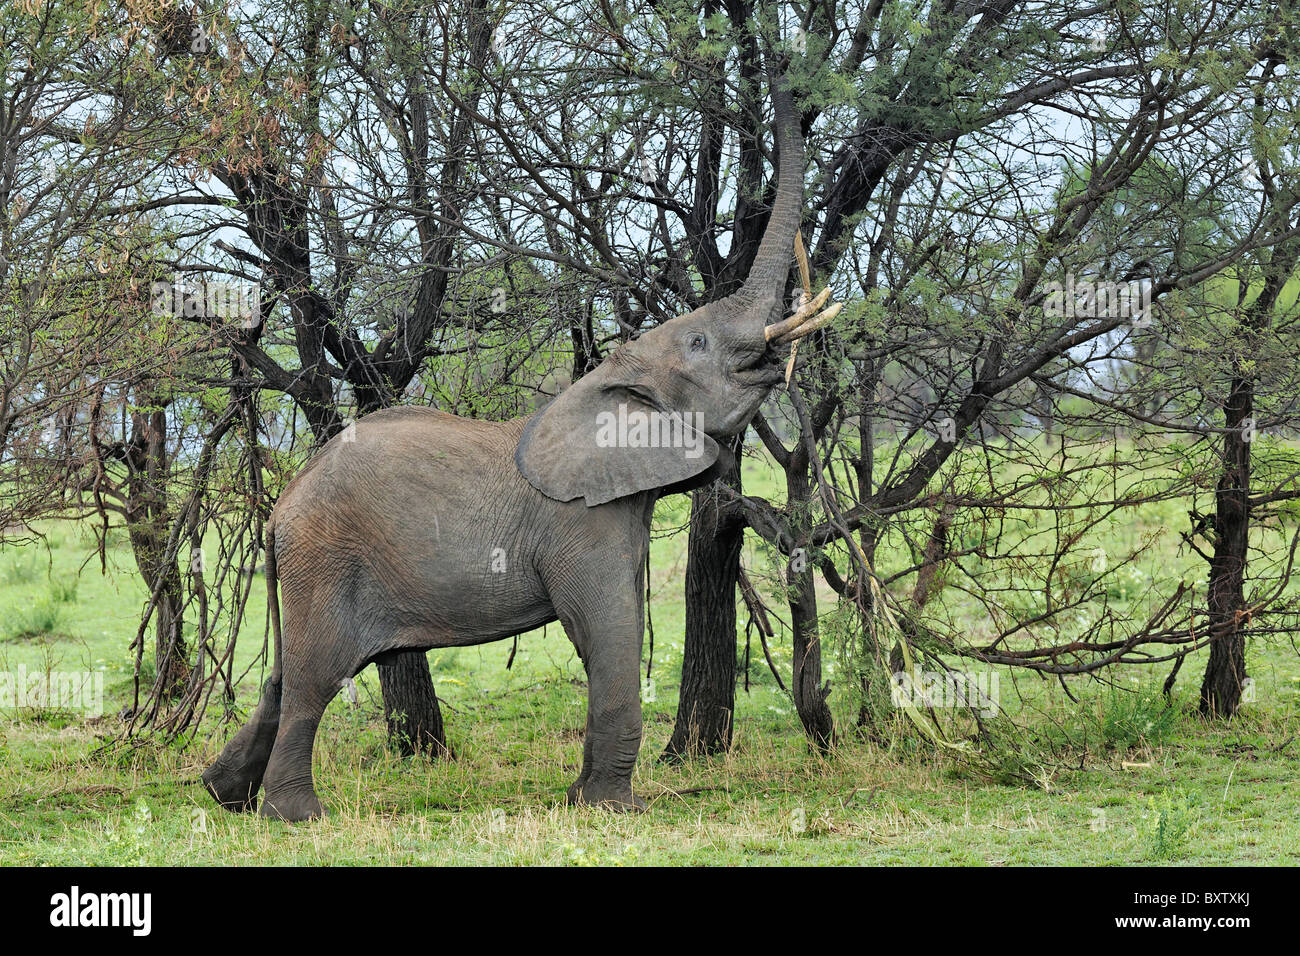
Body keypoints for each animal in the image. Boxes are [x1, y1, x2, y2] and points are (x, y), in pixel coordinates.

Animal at [201, 66, 840, 822]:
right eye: (700, 344)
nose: (781, 68)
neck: (603, 382)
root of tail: (280, 507)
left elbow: (606, 634)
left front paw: (579, 798)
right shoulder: (581, 523)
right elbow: (611, 632)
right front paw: (612, 808)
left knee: (285, 674)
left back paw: (221, 795)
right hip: (324, 557)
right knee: (313, 679)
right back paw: (297, 816)